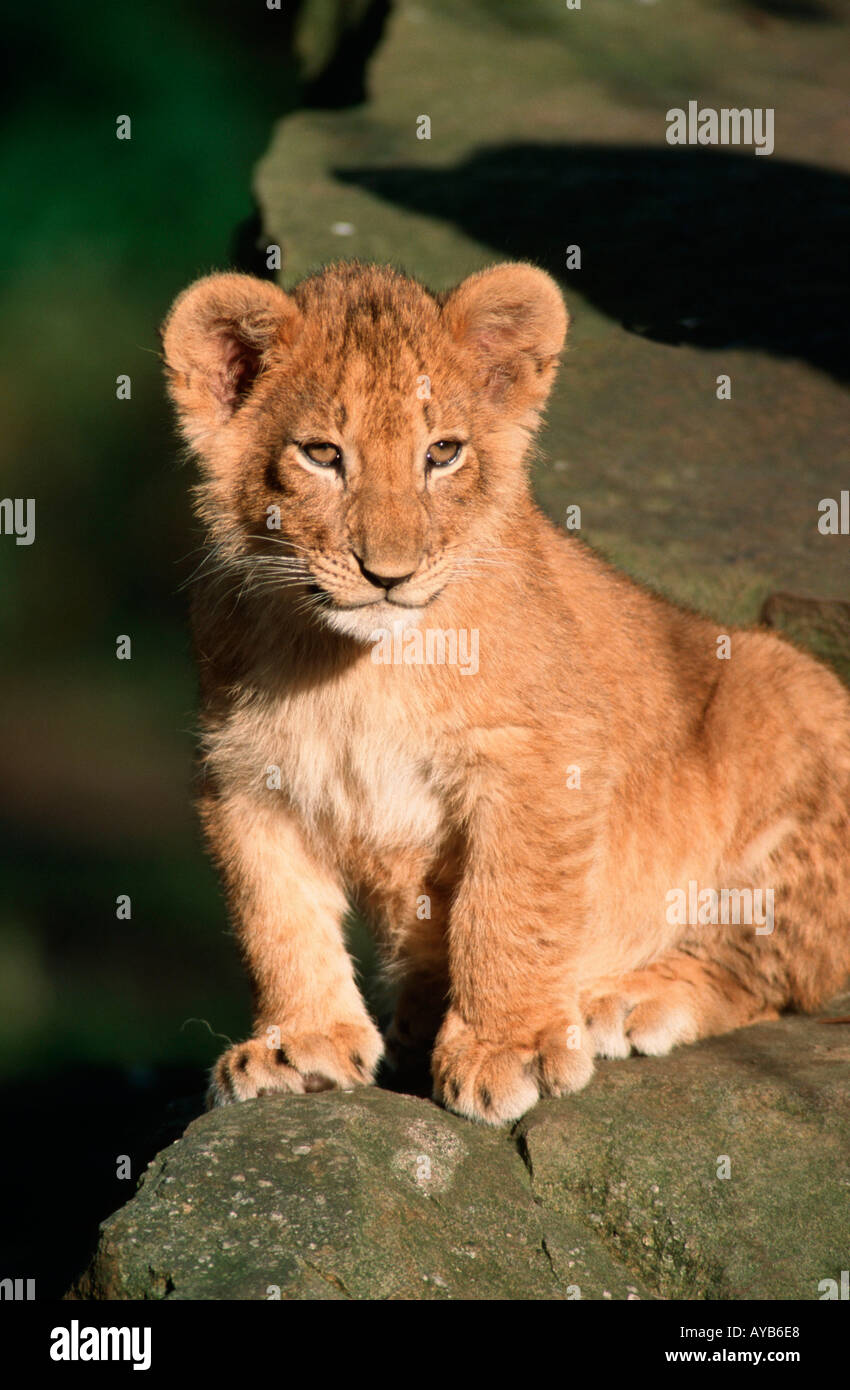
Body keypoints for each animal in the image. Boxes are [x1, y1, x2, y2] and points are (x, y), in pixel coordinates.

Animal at [162, 260, 850, 1125]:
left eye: (442, 453)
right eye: (322, 454)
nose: (389, 574)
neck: (354, 666)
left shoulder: (540, 755)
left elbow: (509, 906)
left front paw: (507, 1048)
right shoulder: (244, 777)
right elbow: (275, 917)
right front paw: (303, 1046)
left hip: (782, 692)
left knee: (777, 968)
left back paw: (624, 998)